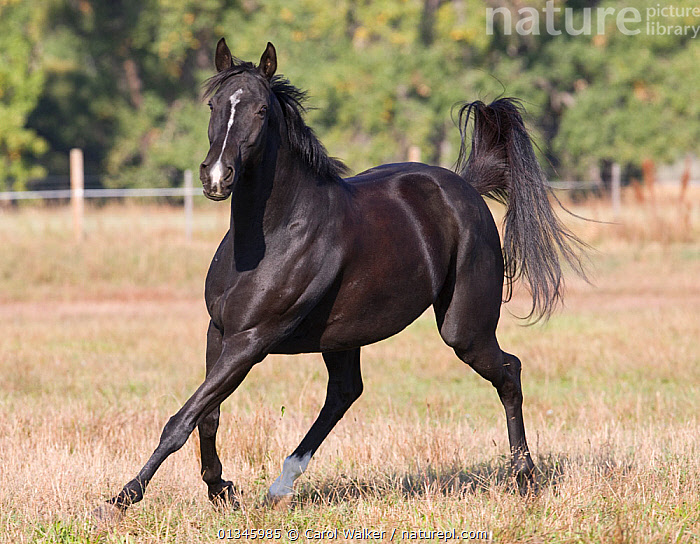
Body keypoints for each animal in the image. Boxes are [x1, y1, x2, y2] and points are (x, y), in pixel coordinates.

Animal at [102, 38, 586, 514]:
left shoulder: (250, 341)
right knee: (344, 393)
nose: (217, 177)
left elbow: (182, 419)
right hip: (343, 336)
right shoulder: (218, 331)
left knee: (509, 371)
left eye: (260, 110)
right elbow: (208, 415)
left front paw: (123, 497)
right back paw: (281, 485)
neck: (275, 232)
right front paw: (220, 489)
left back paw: (526, 479)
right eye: (214, 104)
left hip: (463, 330)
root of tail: (465, 188)